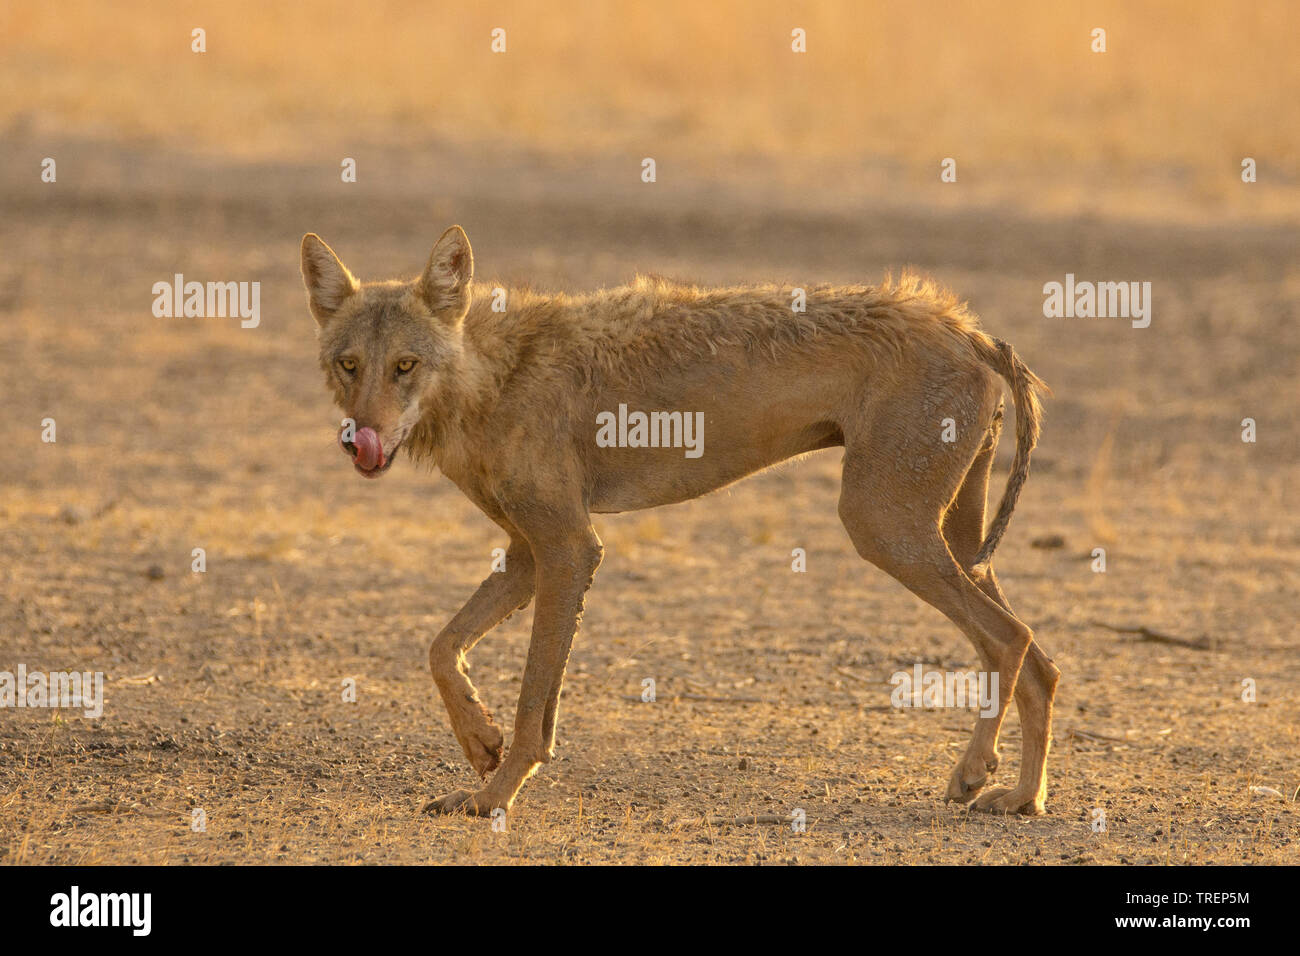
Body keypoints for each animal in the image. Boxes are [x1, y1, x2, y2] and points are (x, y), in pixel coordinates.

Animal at [300, 225, 1060, 817]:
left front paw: (495, 796)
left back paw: (973, 775)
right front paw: (479, 744)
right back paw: (1024, 799)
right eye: (348, 366)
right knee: (1041, 664)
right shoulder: (524, 554)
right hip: (951, 540)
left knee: (1011, 638)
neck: (493, 378)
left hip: (881, 527)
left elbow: (533, 706)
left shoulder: (570, 548)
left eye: (405, 366)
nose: (362, 441)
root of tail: (970, 328)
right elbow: (441, 649)